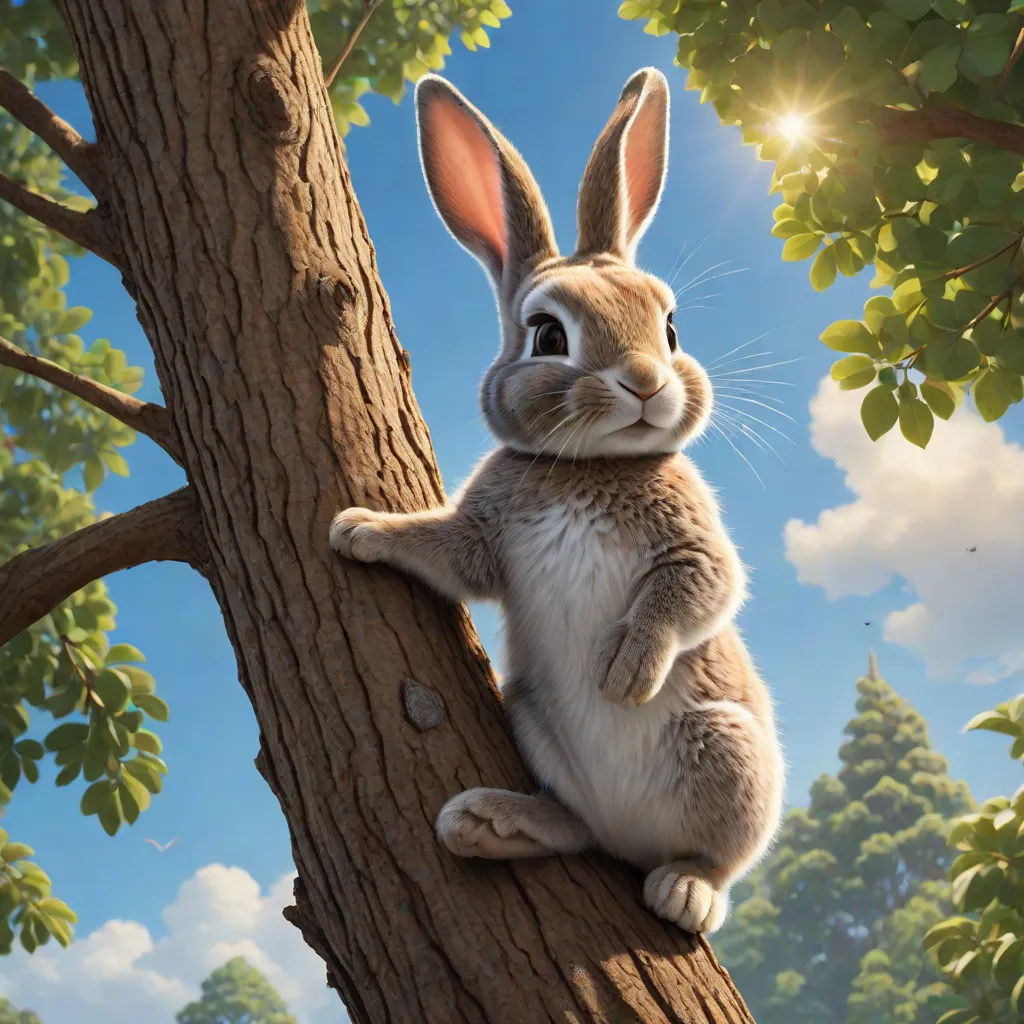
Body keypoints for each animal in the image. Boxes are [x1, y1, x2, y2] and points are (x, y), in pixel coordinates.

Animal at [329, 67, 784, 935]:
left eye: (670, 329)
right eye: (547, 336)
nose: (646, 381)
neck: (587, 466)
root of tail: (633, 840)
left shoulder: (691, 540)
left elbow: (698, 589)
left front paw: (626, 671)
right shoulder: (485, 535)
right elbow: (446, 555)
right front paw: (362, 531)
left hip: (729, 748)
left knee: (712, 857)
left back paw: (685, 890)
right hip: (533, 718)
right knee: (584, 831)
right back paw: (491, 823)